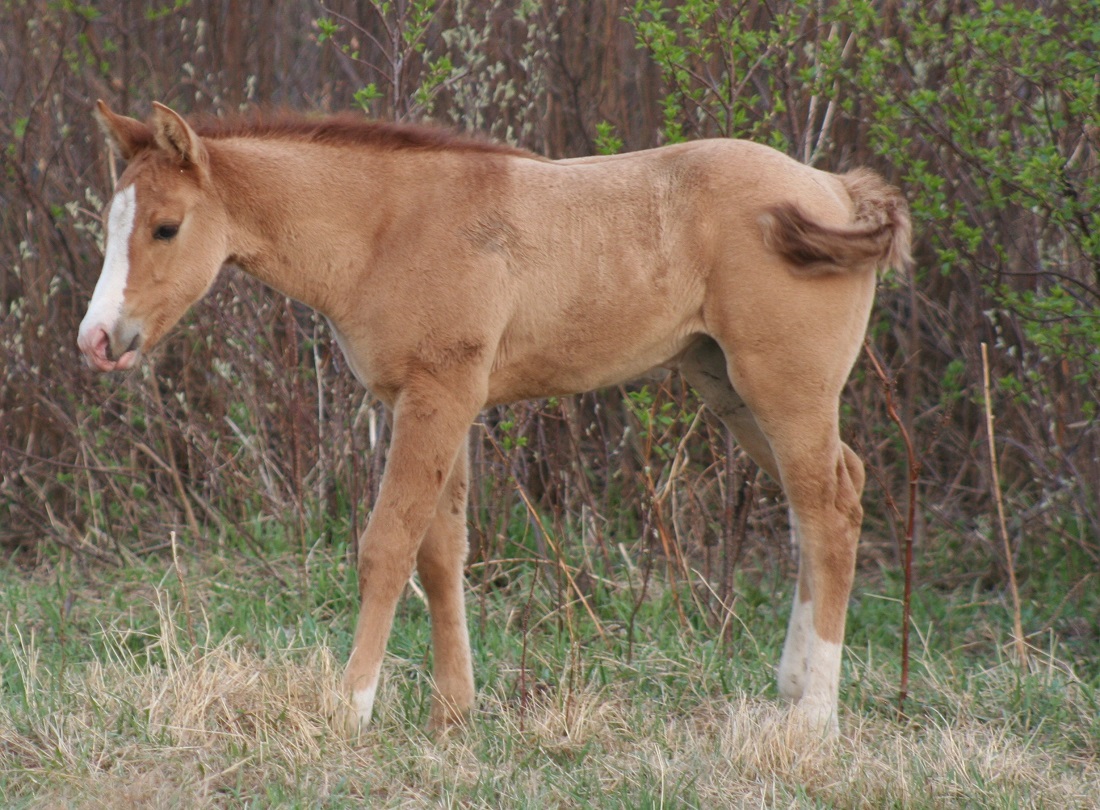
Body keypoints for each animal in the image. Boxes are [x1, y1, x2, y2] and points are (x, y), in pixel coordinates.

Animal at [78, 100, 910, 738]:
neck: (386, 229)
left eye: (166, 227)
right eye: (109, 225)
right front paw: (453, 711)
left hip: (785, 387)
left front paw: (349, 709)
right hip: (728, 388)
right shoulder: (435, 402)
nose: (98, 340)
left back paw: (815, 717)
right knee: (829, 499)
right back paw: (791, 690)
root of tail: (834, 188)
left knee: (828, 511)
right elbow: (442, 554)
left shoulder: (438, 396)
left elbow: (388, 547)